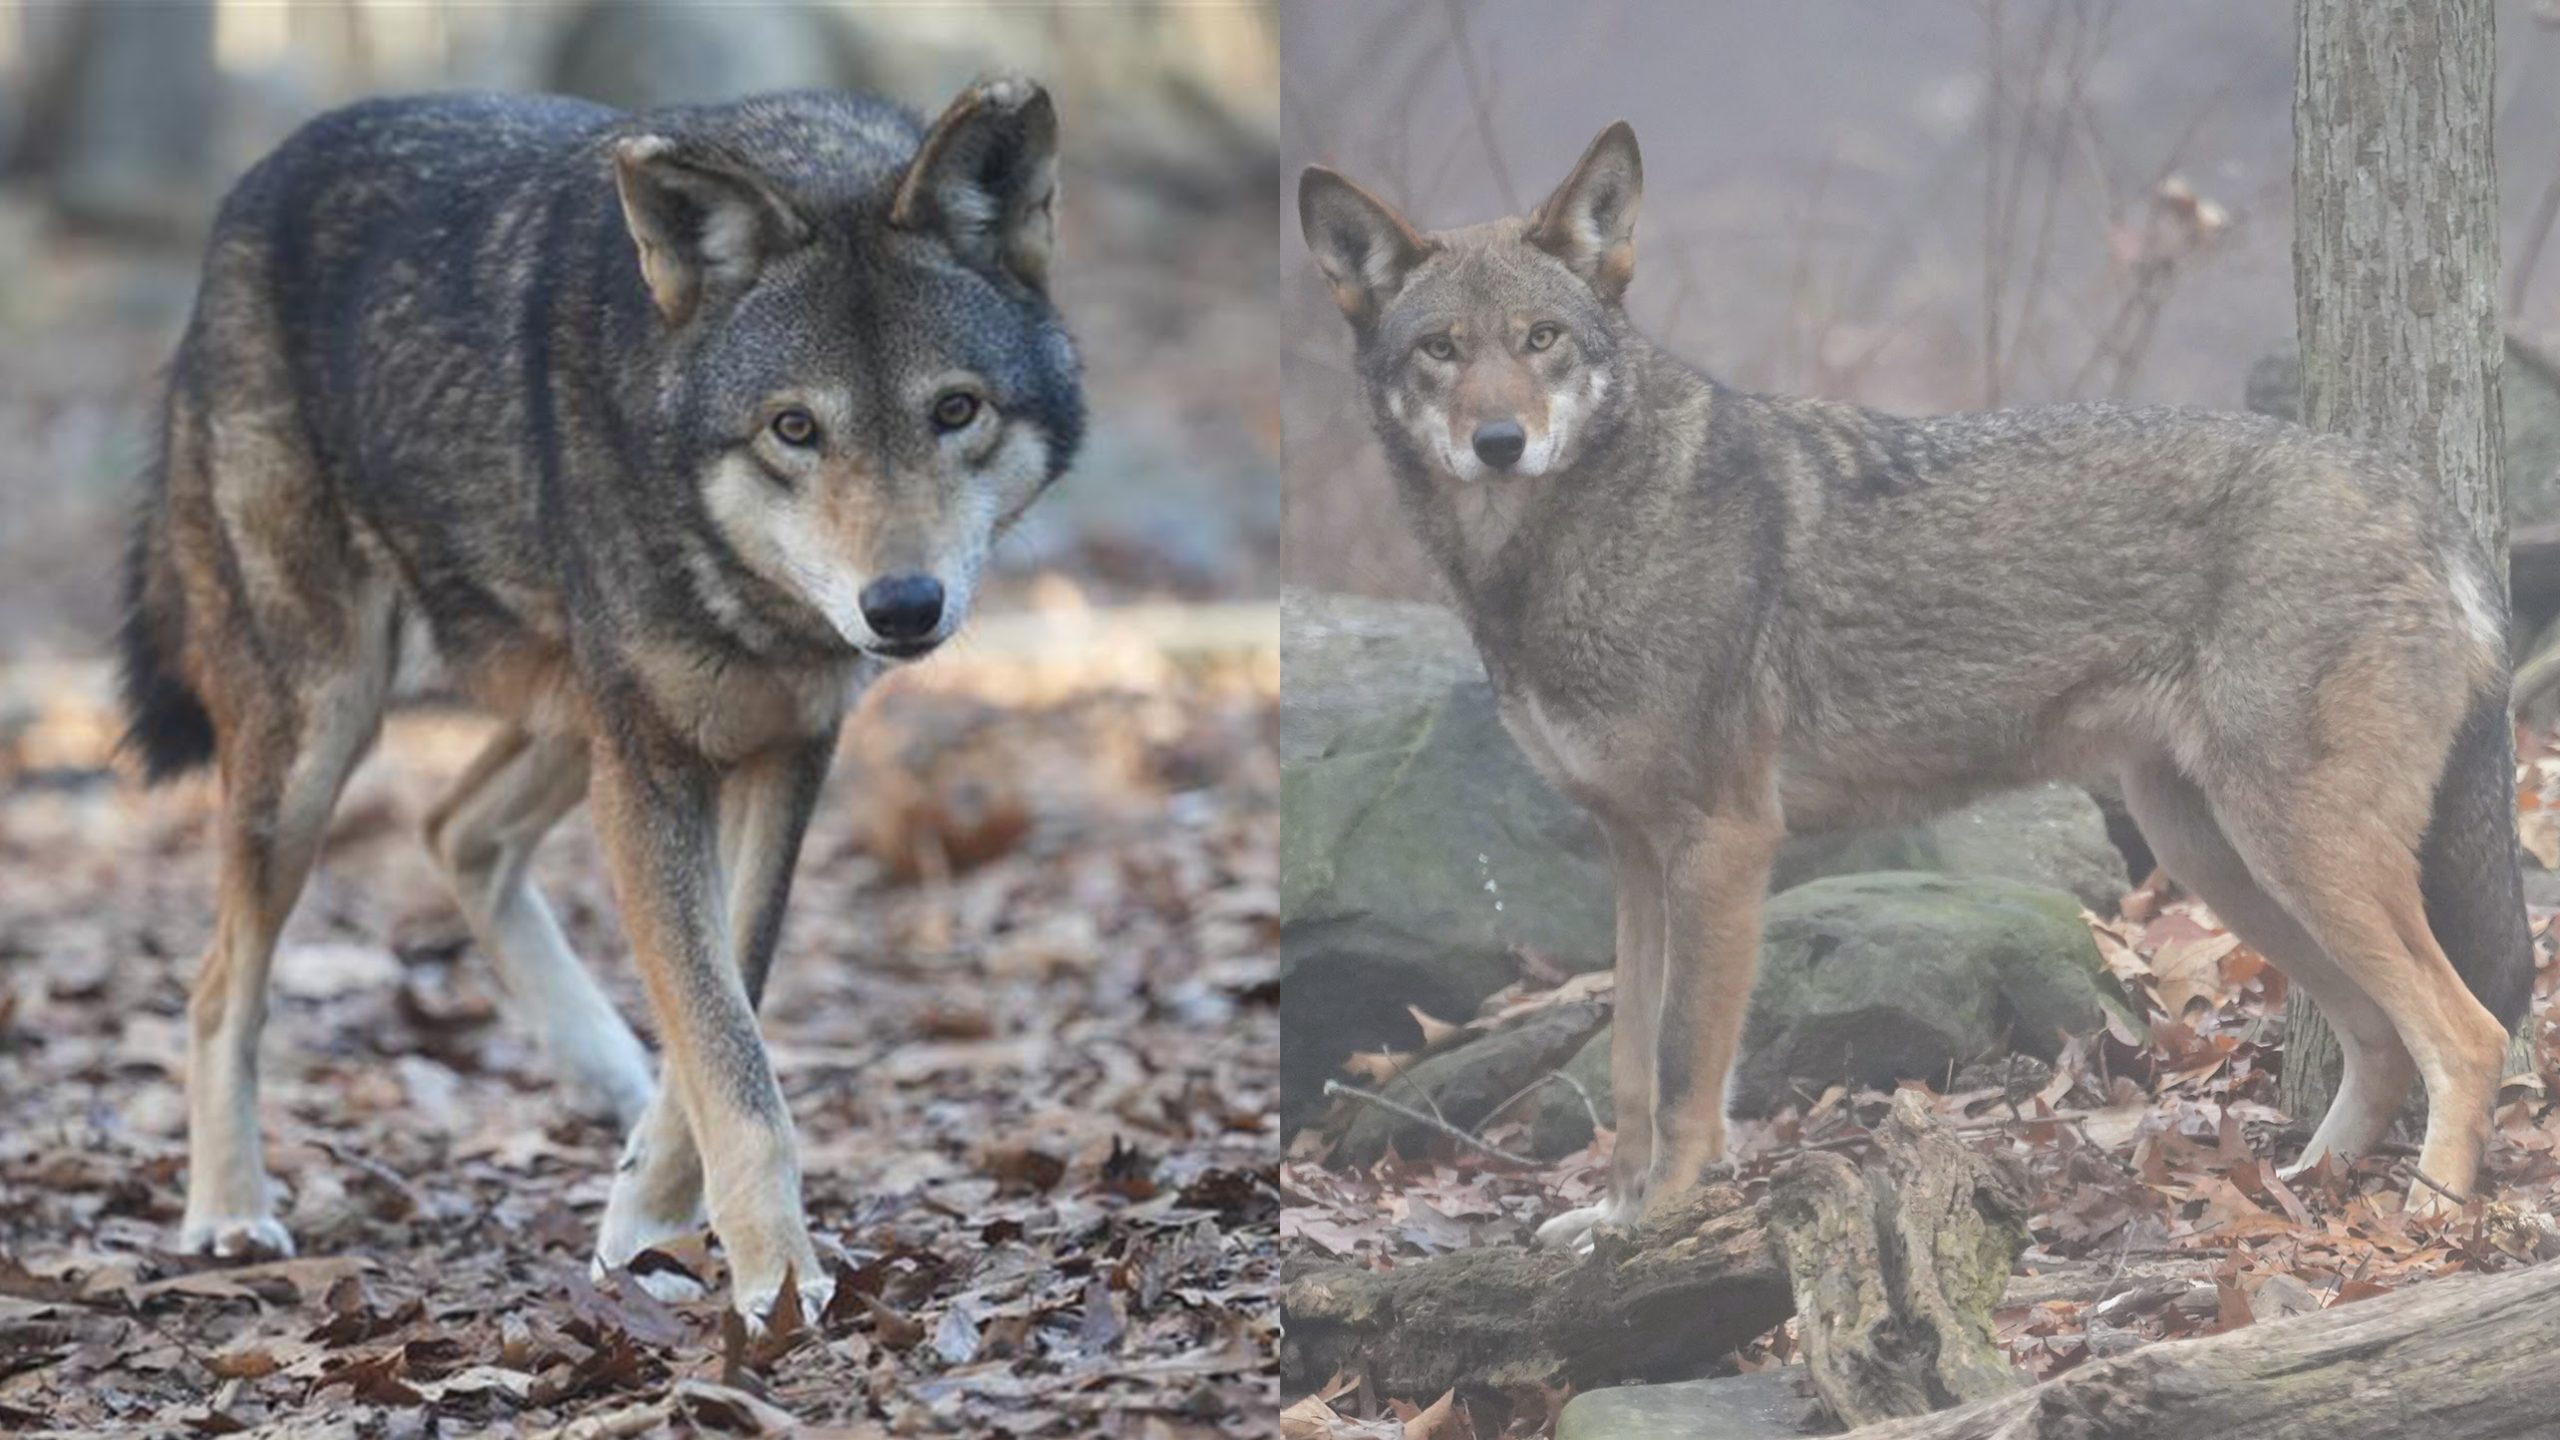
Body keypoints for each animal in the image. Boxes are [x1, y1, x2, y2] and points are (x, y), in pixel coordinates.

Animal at [119, 77, 1080, 1321]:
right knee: (214, 986)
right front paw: (776, 1281)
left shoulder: (782, 753)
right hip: (323, 734)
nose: (902, 606)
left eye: (955, 410)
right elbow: (728, 1051)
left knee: (453, 828)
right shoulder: (658, 770)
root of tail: (258, 180)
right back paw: (229, 1212)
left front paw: (646, 1220)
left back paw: (604, 1070)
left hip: (574, 717)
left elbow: (728, 998)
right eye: (794, 427)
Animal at [1300, 123, 2532, 1246]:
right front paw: (1612, 1215)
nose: (1499, 441)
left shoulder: (1724, 844)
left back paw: (2426, 1221)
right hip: (2217, 855)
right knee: (2383, 1041)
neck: (1566, 551)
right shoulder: (1633, 854)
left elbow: (1688, 1066)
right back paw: (2308, 1194)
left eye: (1542, 339)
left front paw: (1663, 1226)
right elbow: (1631, 1068)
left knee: (2467, 1033)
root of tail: (2428, 502)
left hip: (2291, 849)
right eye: (1441, 349)